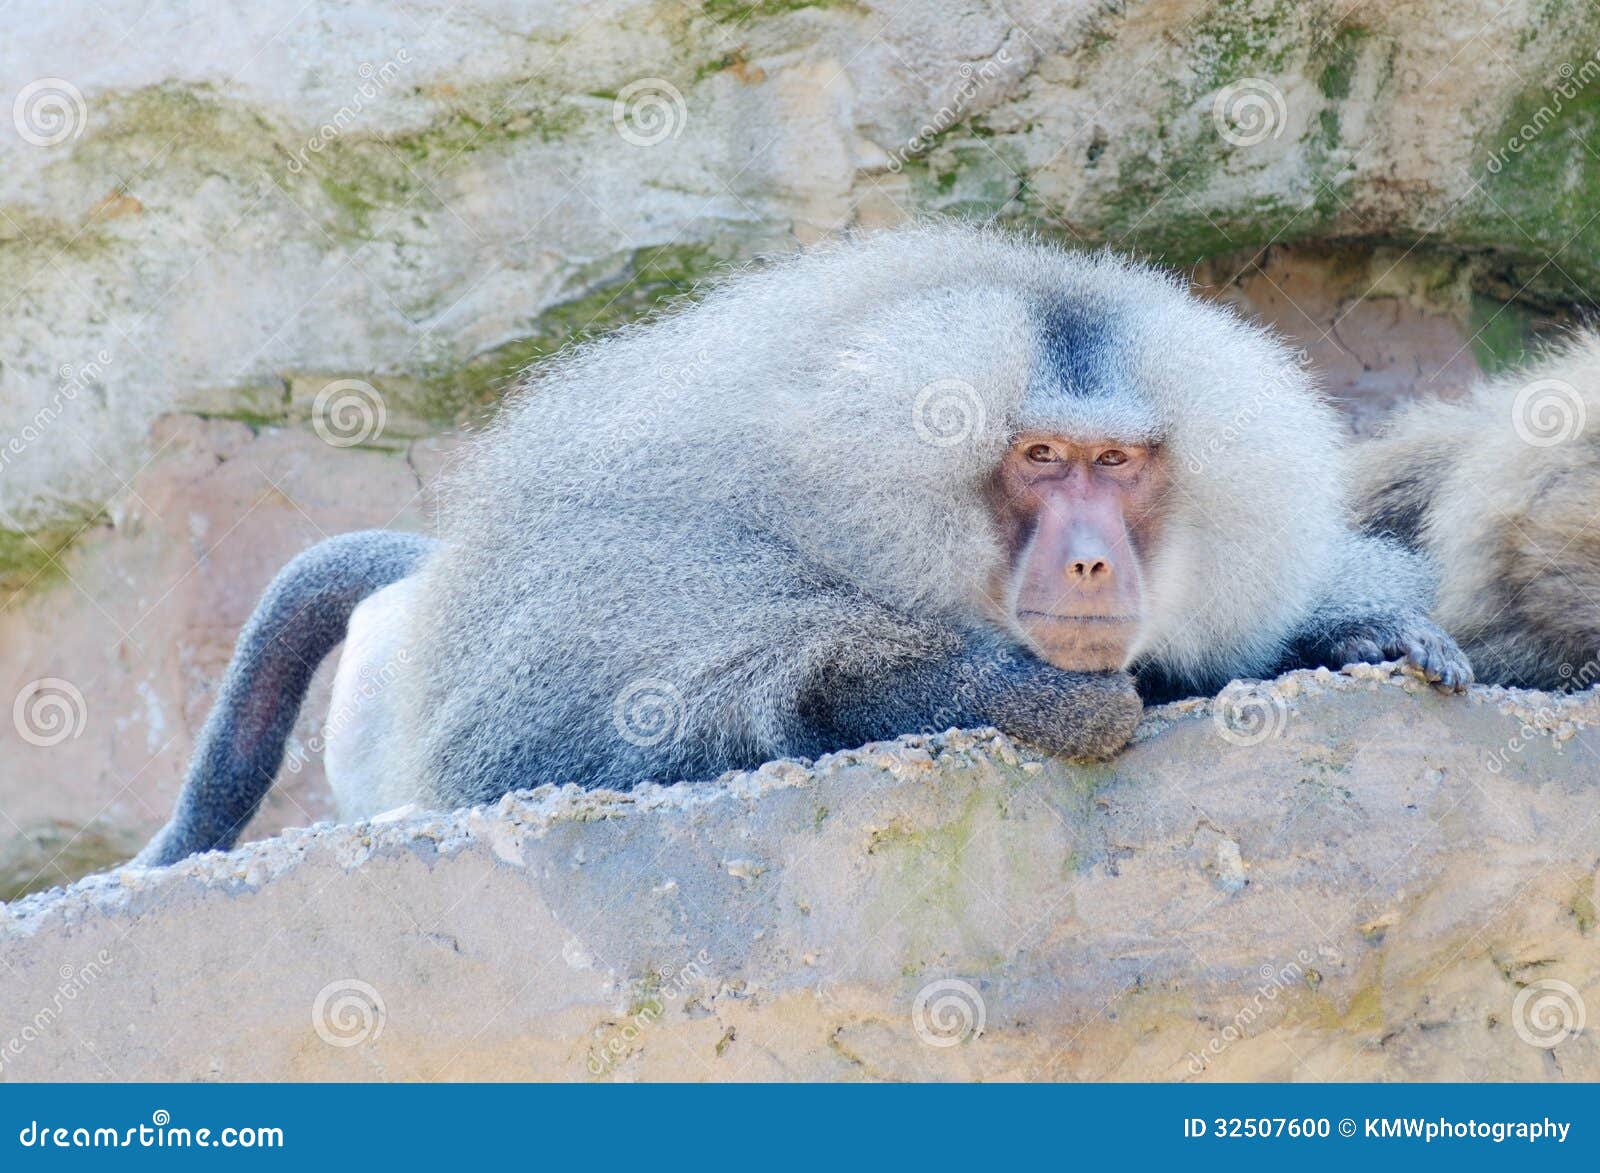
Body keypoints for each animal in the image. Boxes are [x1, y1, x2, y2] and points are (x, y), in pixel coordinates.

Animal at [133, 223, 1470, 868]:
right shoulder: (651, 597)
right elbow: (643, 730)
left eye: (1120, 465)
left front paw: (1357, 631)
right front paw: (1032, 697)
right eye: (1041, 460)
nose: (1094, 564)